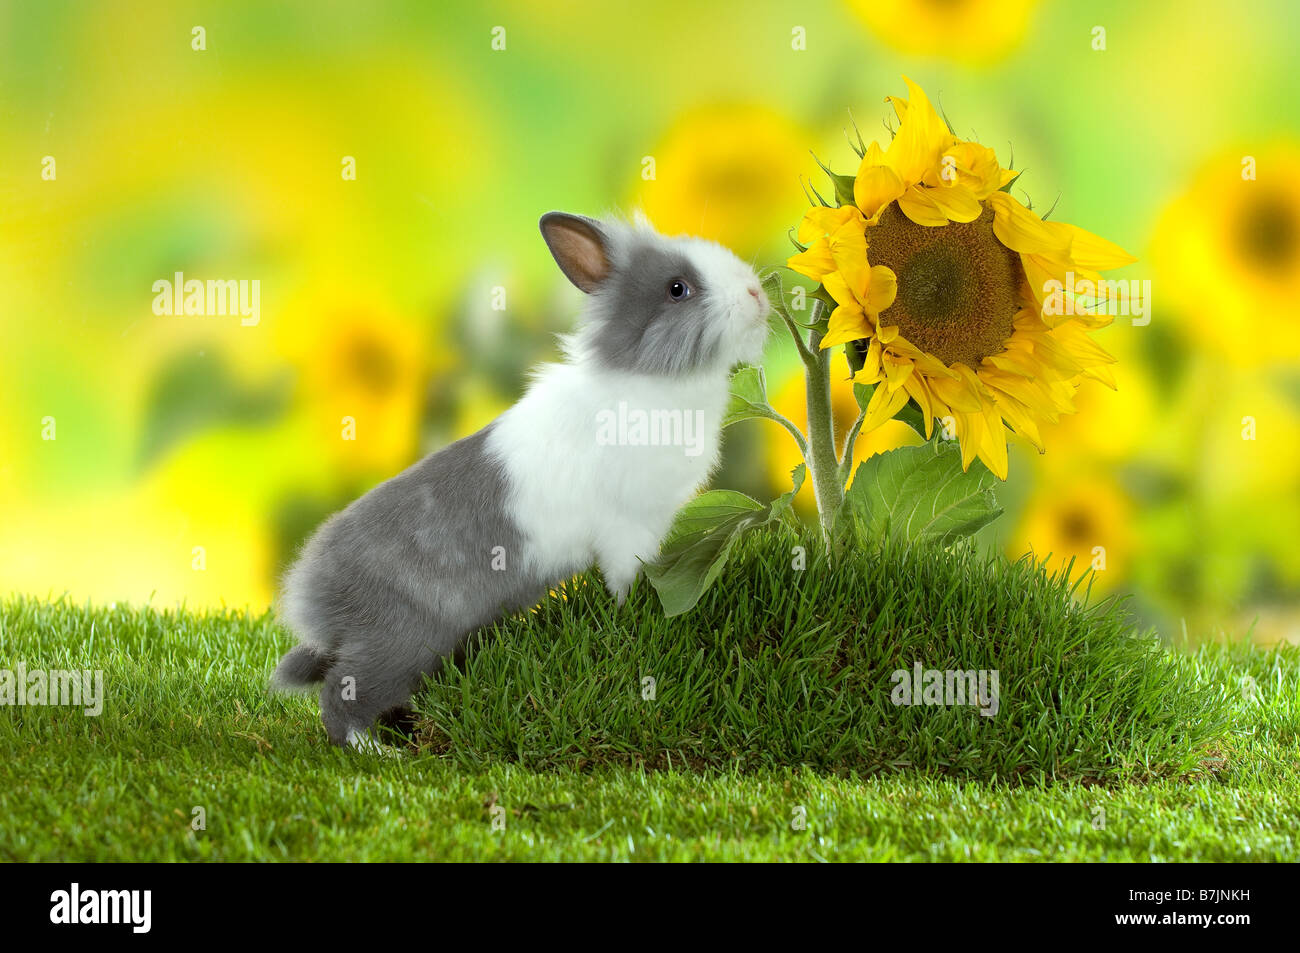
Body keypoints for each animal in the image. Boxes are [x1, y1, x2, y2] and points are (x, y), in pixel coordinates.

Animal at [270, 211, 771, 748]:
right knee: (340, 699)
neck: (649, 379)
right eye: (678, 288)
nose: (757, 293)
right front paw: (633, 613)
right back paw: (379, 752)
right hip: (399, 640)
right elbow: (625, 577)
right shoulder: (627, 528)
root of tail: (308, 597)